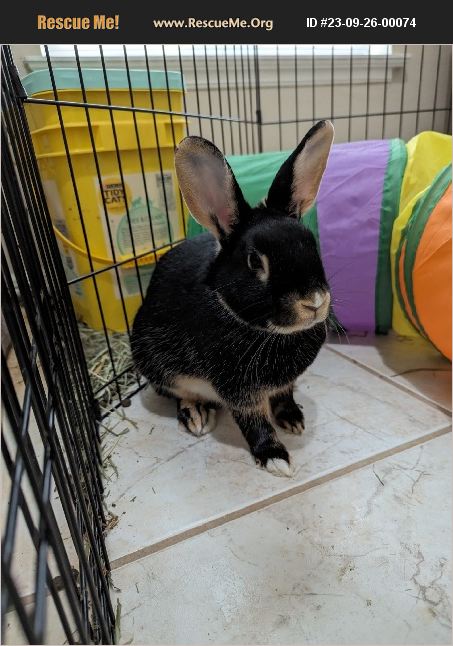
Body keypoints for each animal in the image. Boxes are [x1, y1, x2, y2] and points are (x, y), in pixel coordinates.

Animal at [131, 120, 334, 477]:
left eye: (312, 245)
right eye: (255, 262)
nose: (314, 302)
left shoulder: (282, 384)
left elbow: (284, 395)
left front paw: (294, 419)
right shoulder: (239, 391)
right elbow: (254, 422)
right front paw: (276, 458)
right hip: (152, 359)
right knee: (177, 393)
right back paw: (196, 415)